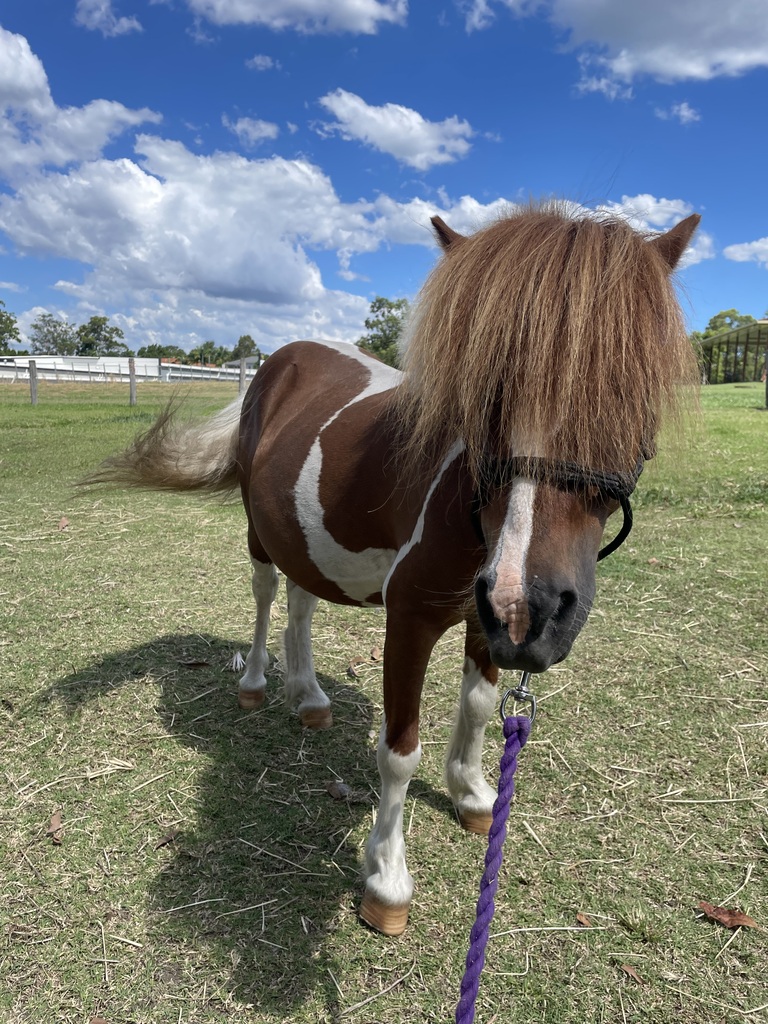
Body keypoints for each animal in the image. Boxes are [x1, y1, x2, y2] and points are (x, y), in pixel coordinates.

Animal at [87, 203, 700, 936]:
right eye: (484, 395)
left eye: (630, 390)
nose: (533, 606)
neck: (465, 504)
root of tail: (279, 361)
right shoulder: (412, 620)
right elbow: (399, 751)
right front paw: (386, 877)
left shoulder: (485, 621)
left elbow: (479, 704)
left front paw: (473, 795)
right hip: (260, 535)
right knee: (266, 598)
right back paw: (259, 683)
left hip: (309, 539)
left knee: (301, 605)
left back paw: (310, 696)